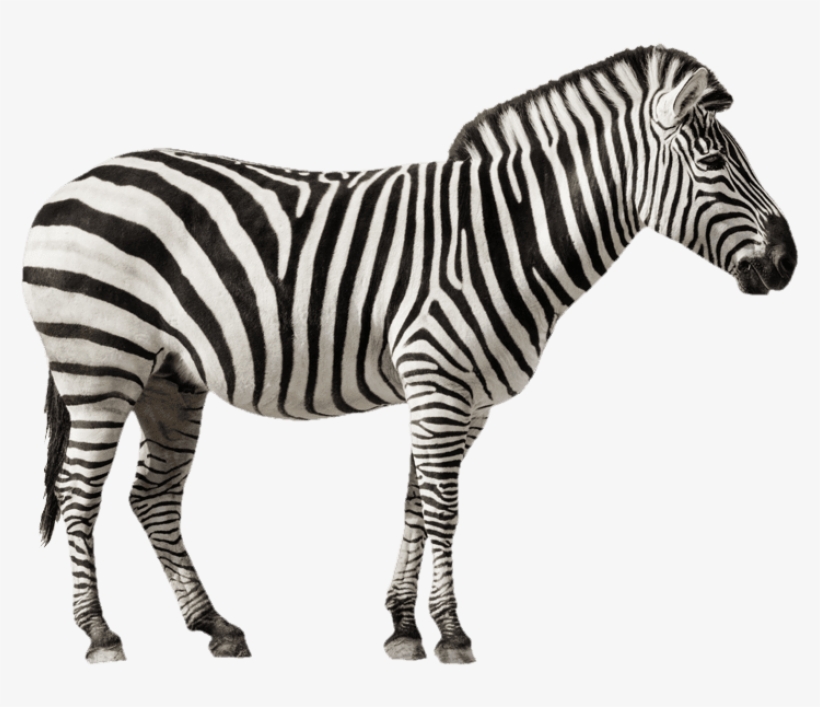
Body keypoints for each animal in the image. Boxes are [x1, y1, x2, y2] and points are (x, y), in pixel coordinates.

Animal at [23, 45, 796, 664]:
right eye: (713, 161)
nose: (789, 262)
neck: (503, 237)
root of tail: (70, 184)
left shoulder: (465, 398)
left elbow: (416, 503)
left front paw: (402, 627)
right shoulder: (439, 377)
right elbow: (445, 508)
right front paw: (452, 633)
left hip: (169, 378)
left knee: (152, 496)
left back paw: (215, 624)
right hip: (99, 365)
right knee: (80, 493)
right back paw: (100, 633)